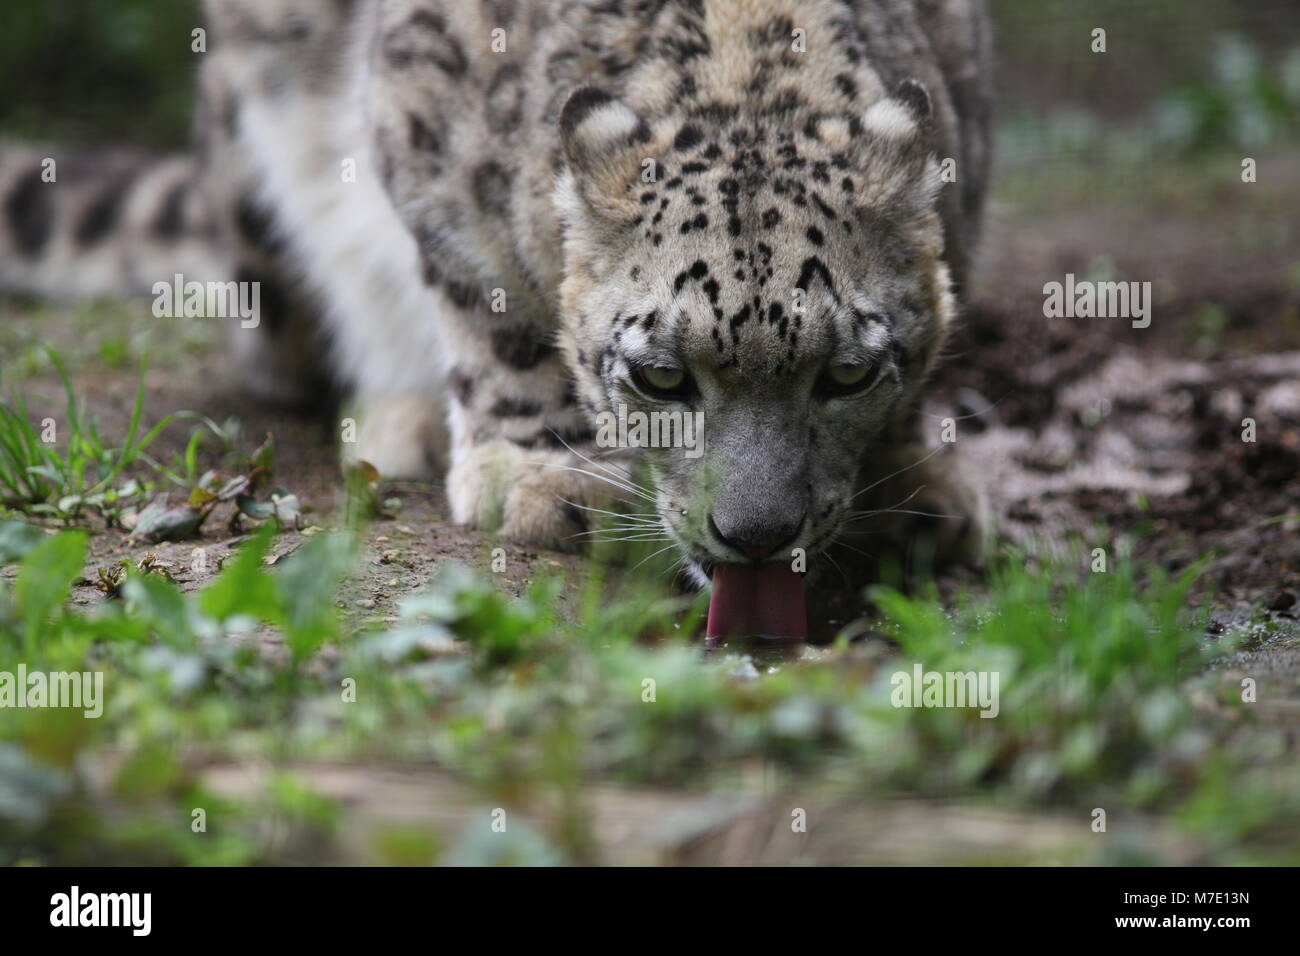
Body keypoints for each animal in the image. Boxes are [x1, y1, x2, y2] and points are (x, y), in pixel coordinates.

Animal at [0, 0, 993, 604]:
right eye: (661, 379)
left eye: (849, 375)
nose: (755, 534)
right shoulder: (422, 123)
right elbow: (492, 308)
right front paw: (541, 476)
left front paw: (915, 486)